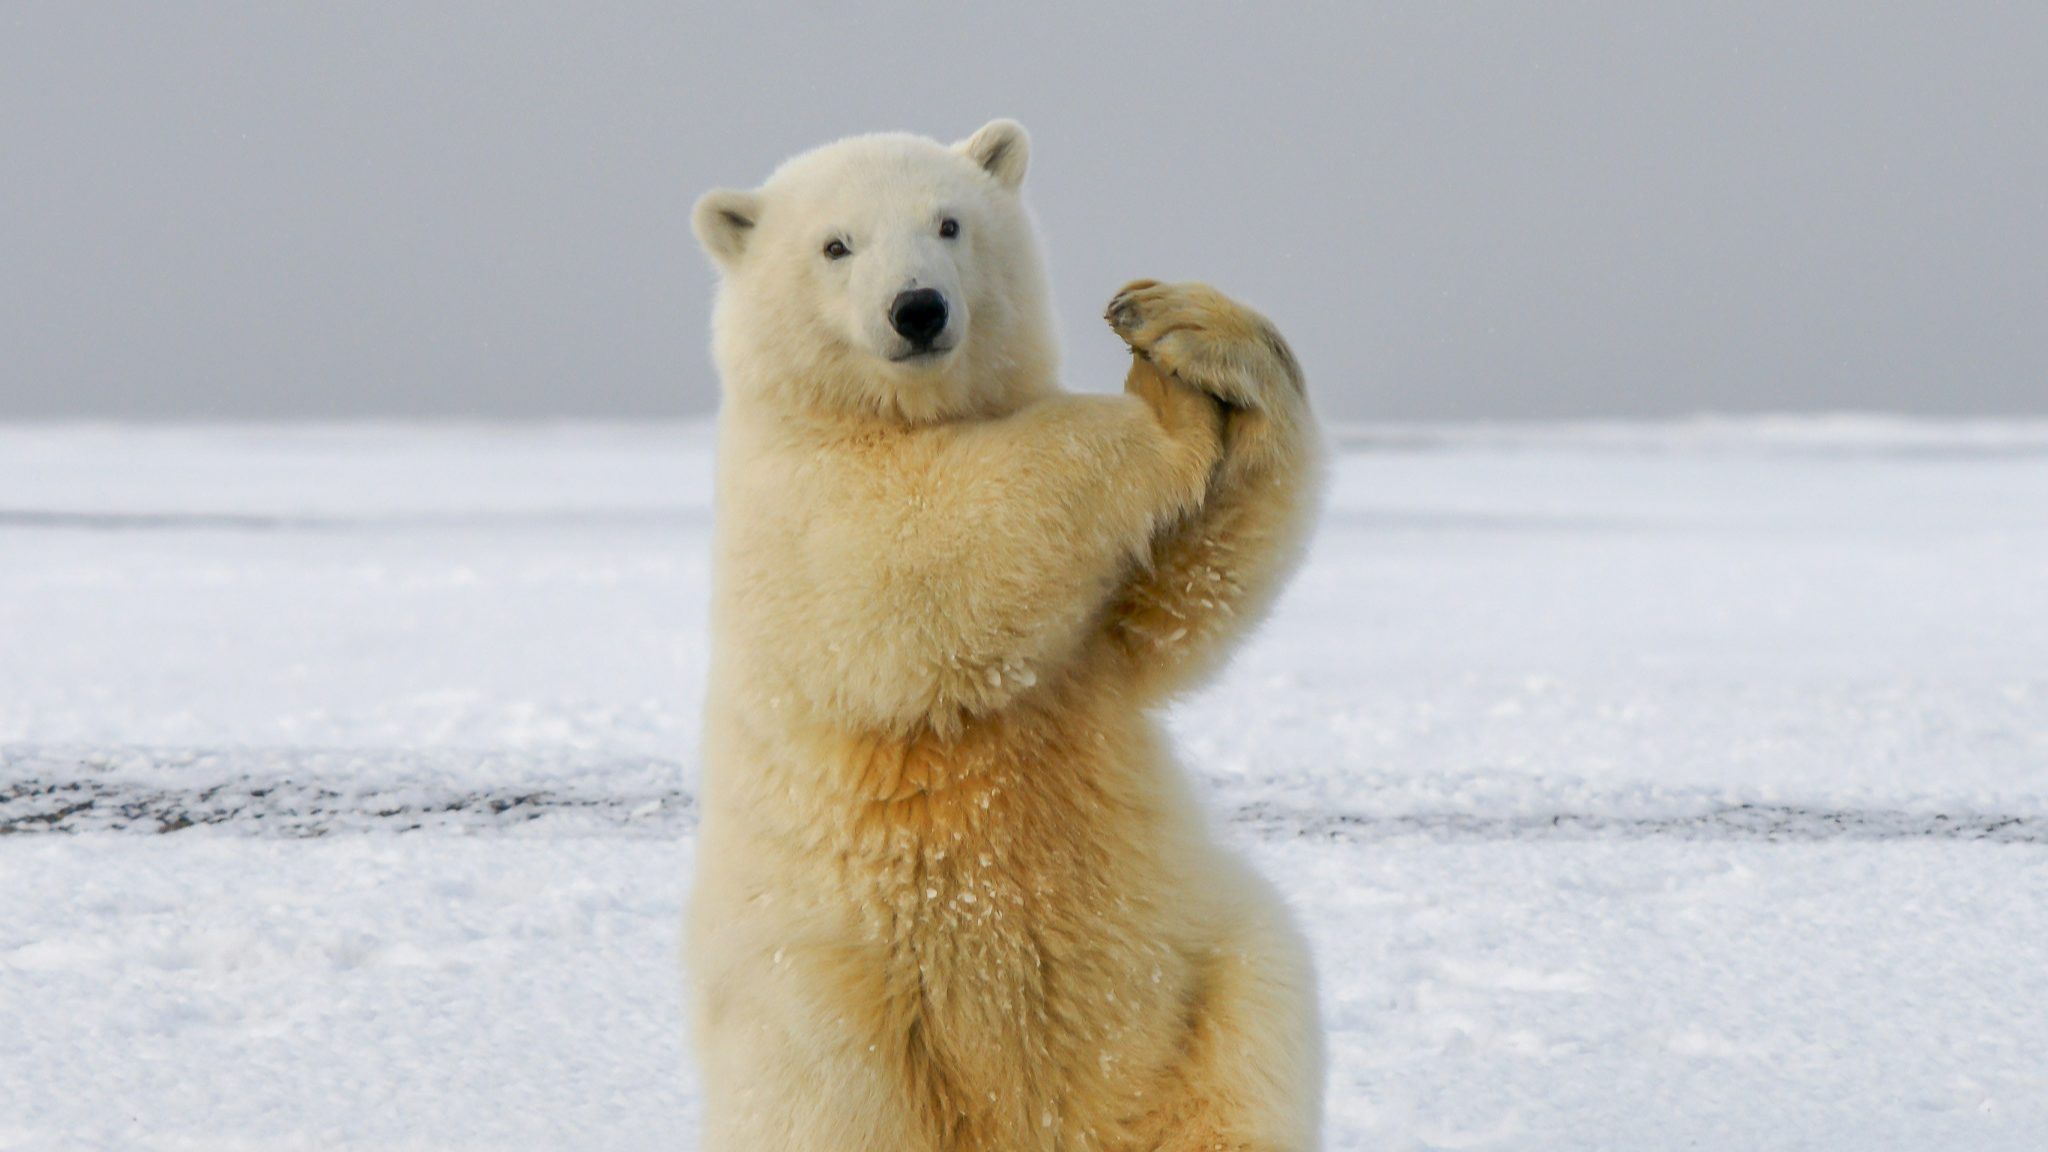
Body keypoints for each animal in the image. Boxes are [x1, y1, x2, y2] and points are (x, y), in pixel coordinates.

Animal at [687, 119, 1326, 1152]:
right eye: (835, 245)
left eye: (949, 222)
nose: (917, 308)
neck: (892, 415)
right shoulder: (798, 503)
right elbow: (927, 548)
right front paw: (1161, 409)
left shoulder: (1097, 646)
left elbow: (1183, 597)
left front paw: (1182, 328)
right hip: (830, 1011)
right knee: (834, 1105)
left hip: (1203, 981)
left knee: (1244, 1052)